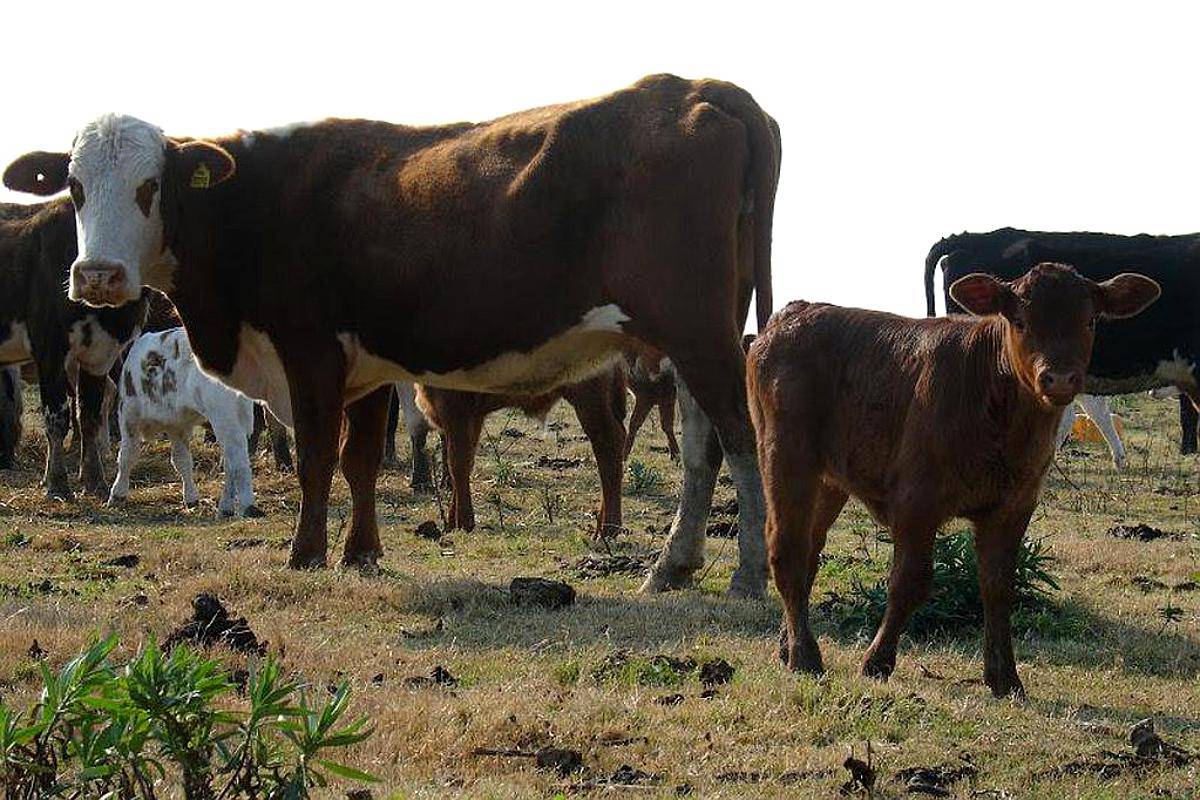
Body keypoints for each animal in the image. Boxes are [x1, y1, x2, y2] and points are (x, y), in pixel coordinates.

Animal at [0, 199, 147, 499]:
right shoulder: (49, 350)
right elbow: (58, 417)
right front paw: (57, 482)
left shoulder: (100, 355)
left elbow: (89, 415)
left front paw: (95, 480)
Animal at [110, 327, 260, 516]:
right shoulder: (177, 425)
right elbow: (182, 460)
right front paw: (190, 498)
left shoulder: (128, 414)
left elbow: (126, 456)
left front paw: (117, 494)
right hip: (239, 417)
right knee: (229, 462)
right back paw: (225, 507)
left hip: (225, 417)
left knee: (238, 461)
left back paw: (248, 506)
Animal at [417, 366, 626, 537]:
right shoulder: (472, 416)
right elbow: (465, 463)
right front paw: (452, 522)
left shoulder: (456, 410)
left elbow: (457, 464)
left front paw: (463, 523)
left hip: (590, 399)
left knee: (608, 444)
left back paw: (607, 530)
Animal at [748, 263, 1160, 697]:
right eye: (1019, 320)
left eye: (1090, 320)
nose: (1061, 379)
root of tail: (794, 312)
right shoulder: (916, 500)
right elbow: (909, 581)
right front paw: (878, 661)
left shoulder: (1014, 505)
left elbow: (998, 586)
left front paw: (1005, 677)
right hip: (786, 455)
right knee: (788, 550)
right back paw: (805, 656)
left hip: (830, 478)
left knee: (810, 549)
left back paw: (787, 645)